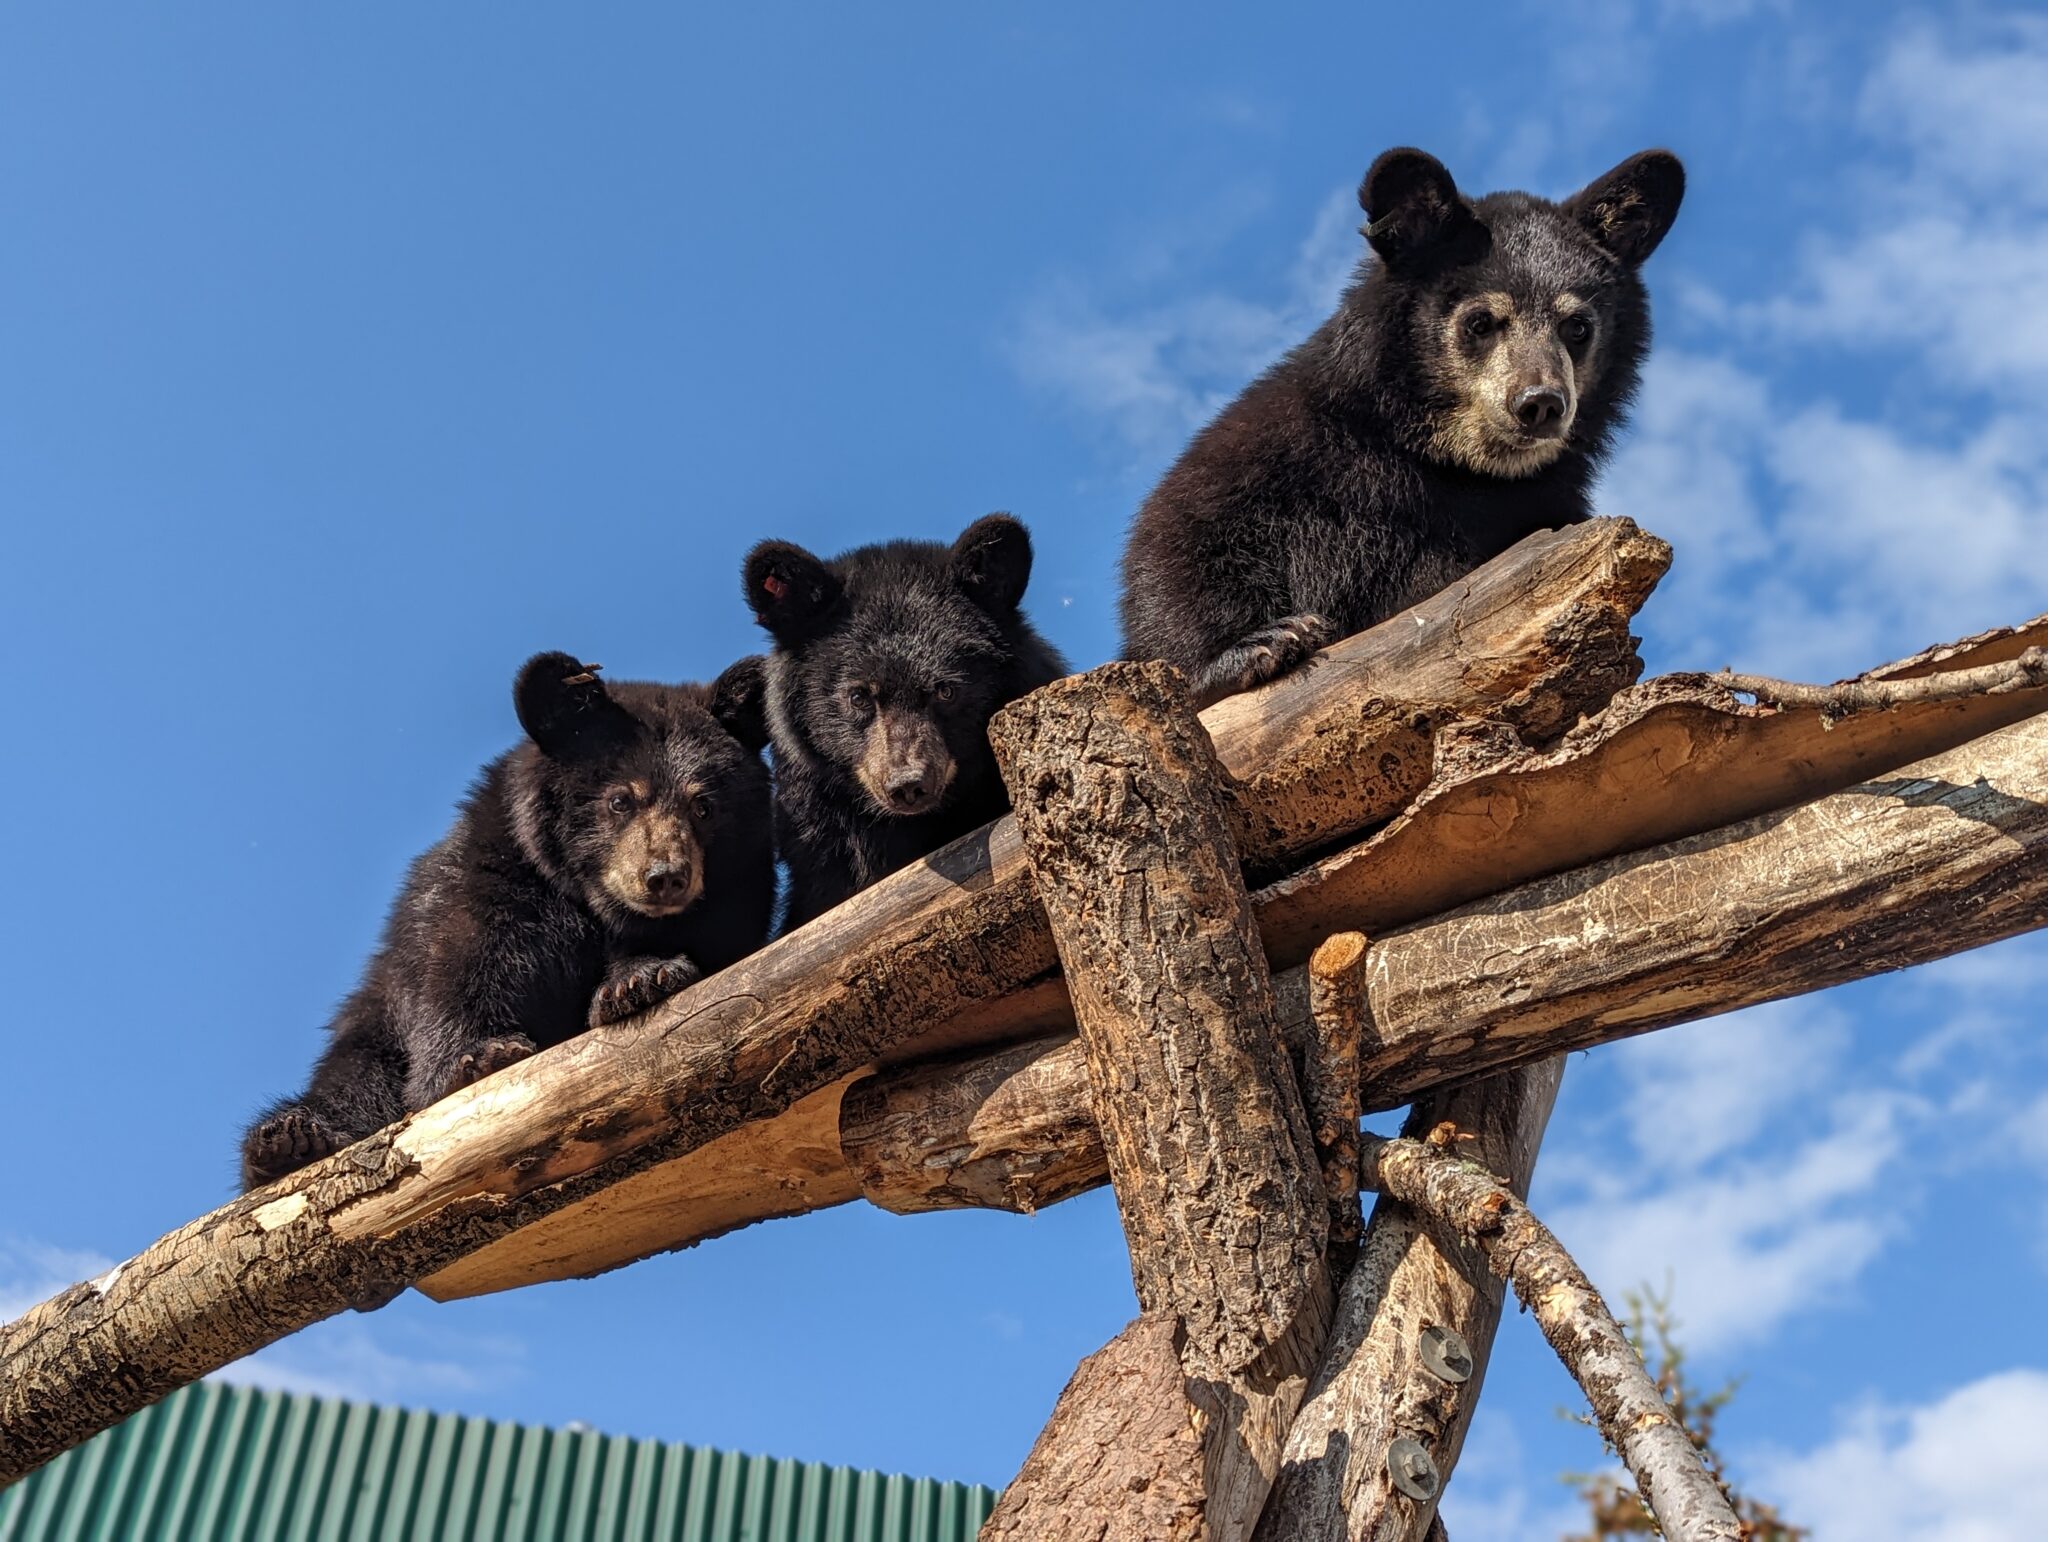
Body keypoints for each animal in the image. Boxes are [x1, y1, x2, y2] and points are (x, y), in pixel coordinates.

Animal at [237, 651, 775, 1190]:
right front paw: (481, 1055)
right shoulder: (494, 871)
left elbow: (713, 942)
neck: (593, 900)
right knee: (353, 1074)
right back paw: (288, 1138)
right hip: (372, 1022)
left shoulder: (738, 885)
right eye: (620, 799)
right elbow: (464, 958)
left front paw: (641, 980)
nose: (665, 878)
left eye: (703, 805)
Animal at [1120, 147, 1685, 707]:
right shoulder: (1293, 446)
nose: (1540, 404)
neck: (1448, 459)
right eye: (1480, 322)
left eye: (1577, 327)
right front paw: (1258, 645)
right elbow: (1180, 536)